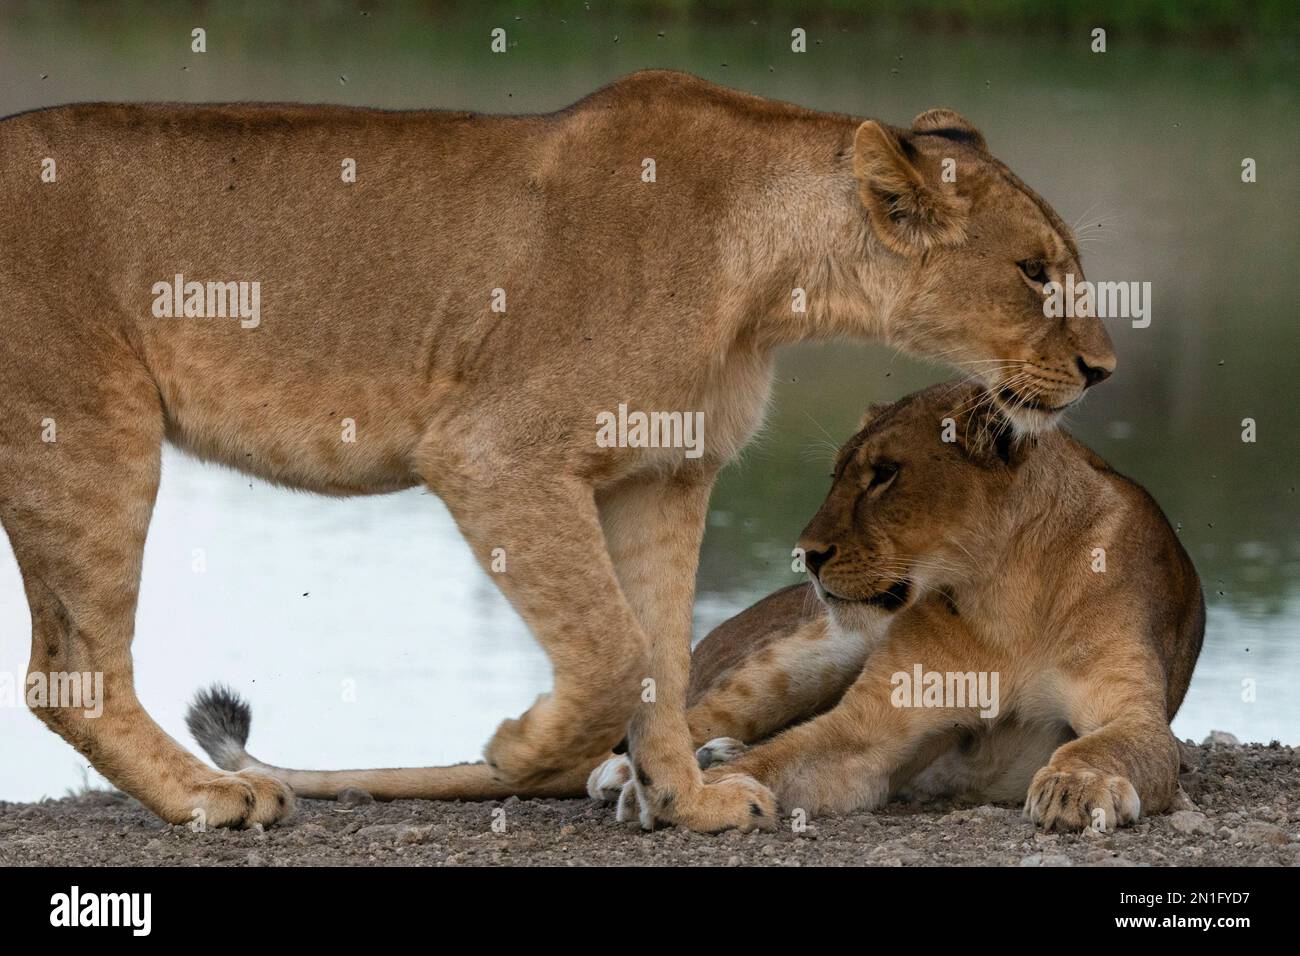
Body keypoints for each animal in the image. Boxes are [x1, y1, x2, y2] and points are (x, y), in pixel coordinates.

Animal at [1, 70, 1113, 831]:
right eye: (1032, 271)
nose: (1103, 368)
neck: (772, 282)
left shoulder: (664, 473)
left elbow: (661, 649)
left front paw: (689, 801)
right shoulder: (494, 450)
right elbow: (613, 649)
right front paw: (521, 748)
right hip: (88, 430)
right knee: (71, 669)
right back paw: (213, 797)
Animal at [590, 381, 1204, 831]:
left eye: (884, 474)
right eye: (837, 474)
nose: (806, 555)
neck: (1001, 596)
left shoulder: (1134, 711)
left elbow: (1108, 743)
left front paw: (1074, 785)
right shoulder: (869, 729)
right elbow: (776, 756)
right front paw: (705, 792)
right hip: (816, 652)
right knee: (700, 712)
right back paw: (634, 771)